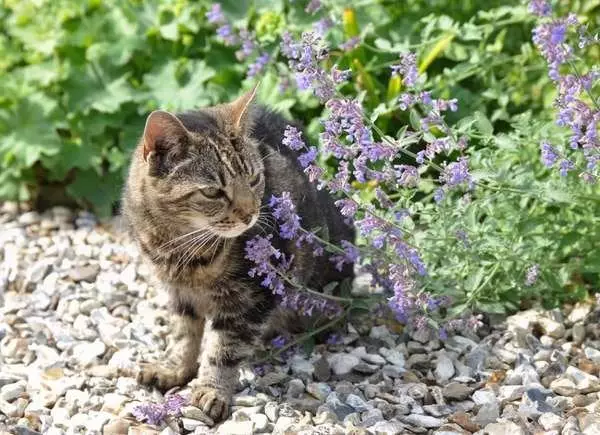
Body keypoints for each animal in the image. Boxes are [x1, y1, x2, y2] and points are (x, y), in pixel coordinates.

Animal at [123, 85, 356, 422]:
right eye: (212, 192)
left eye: (255, 179)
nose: (250, 214)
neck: (182, 249)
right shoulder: (178, 294)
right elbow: (183, 334)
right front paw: (174, 368)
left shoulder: (252, 297)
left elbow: (224, 350)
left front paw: (211, 390)